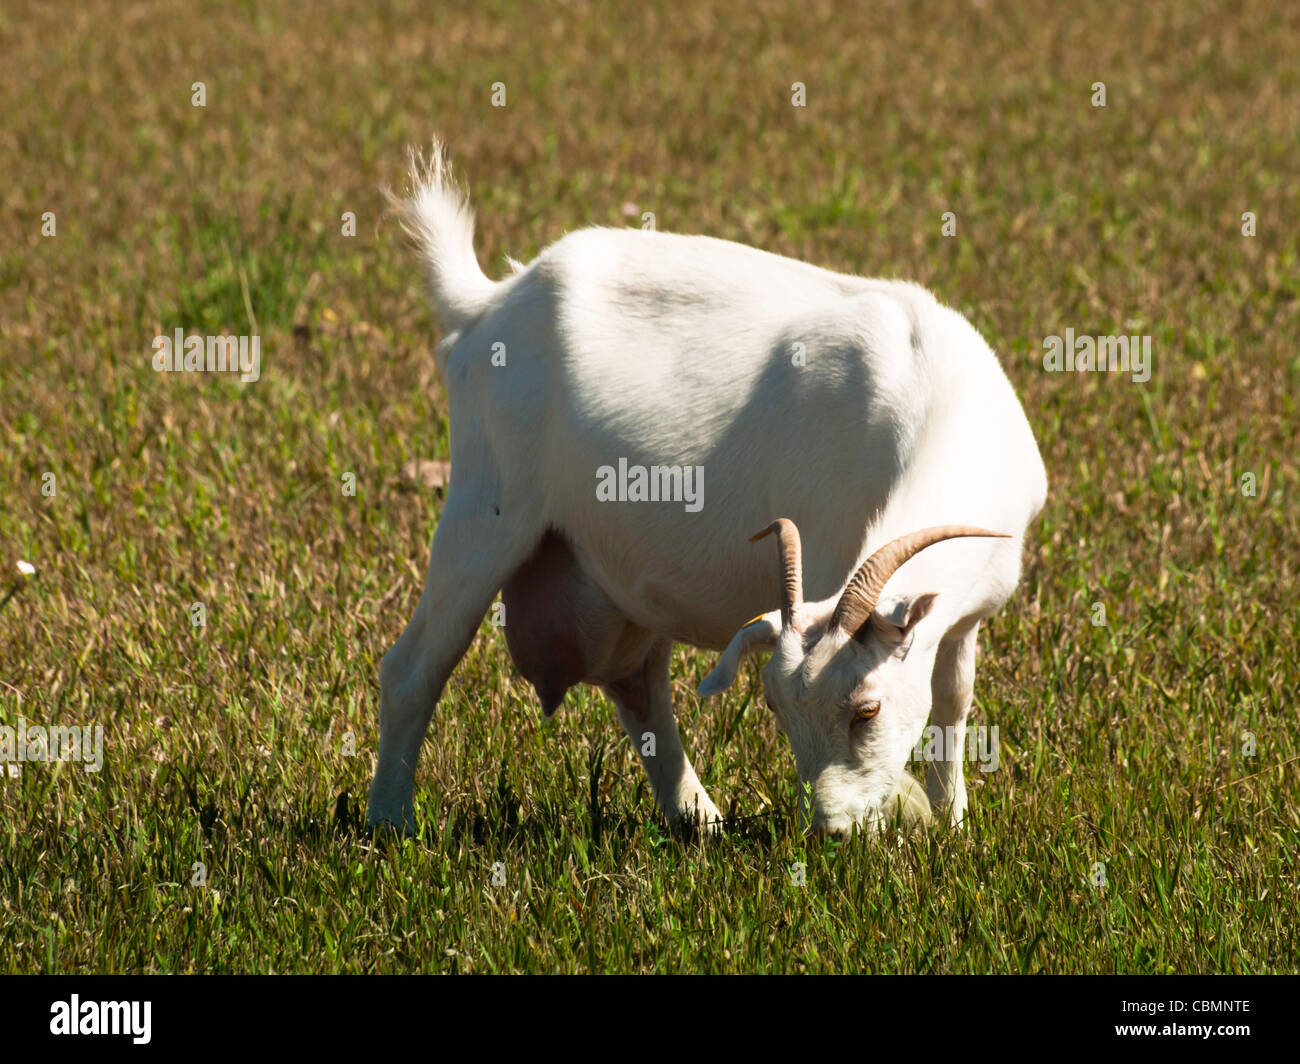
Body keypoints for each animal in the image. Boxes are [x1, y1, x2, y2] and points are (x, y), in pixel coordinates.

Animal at [367, 141, 1047, 837]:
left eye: (867, 710)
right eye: (775, 710)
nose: (829, 830)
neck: (939, 400)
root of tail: (487, 302)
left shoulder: (965, 618)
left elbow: (953, 702)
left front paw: (953, 821)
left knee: (638, 687)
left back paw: (697, 818)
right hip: (486, 509)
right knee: (412, 670)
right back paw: (390, 821)